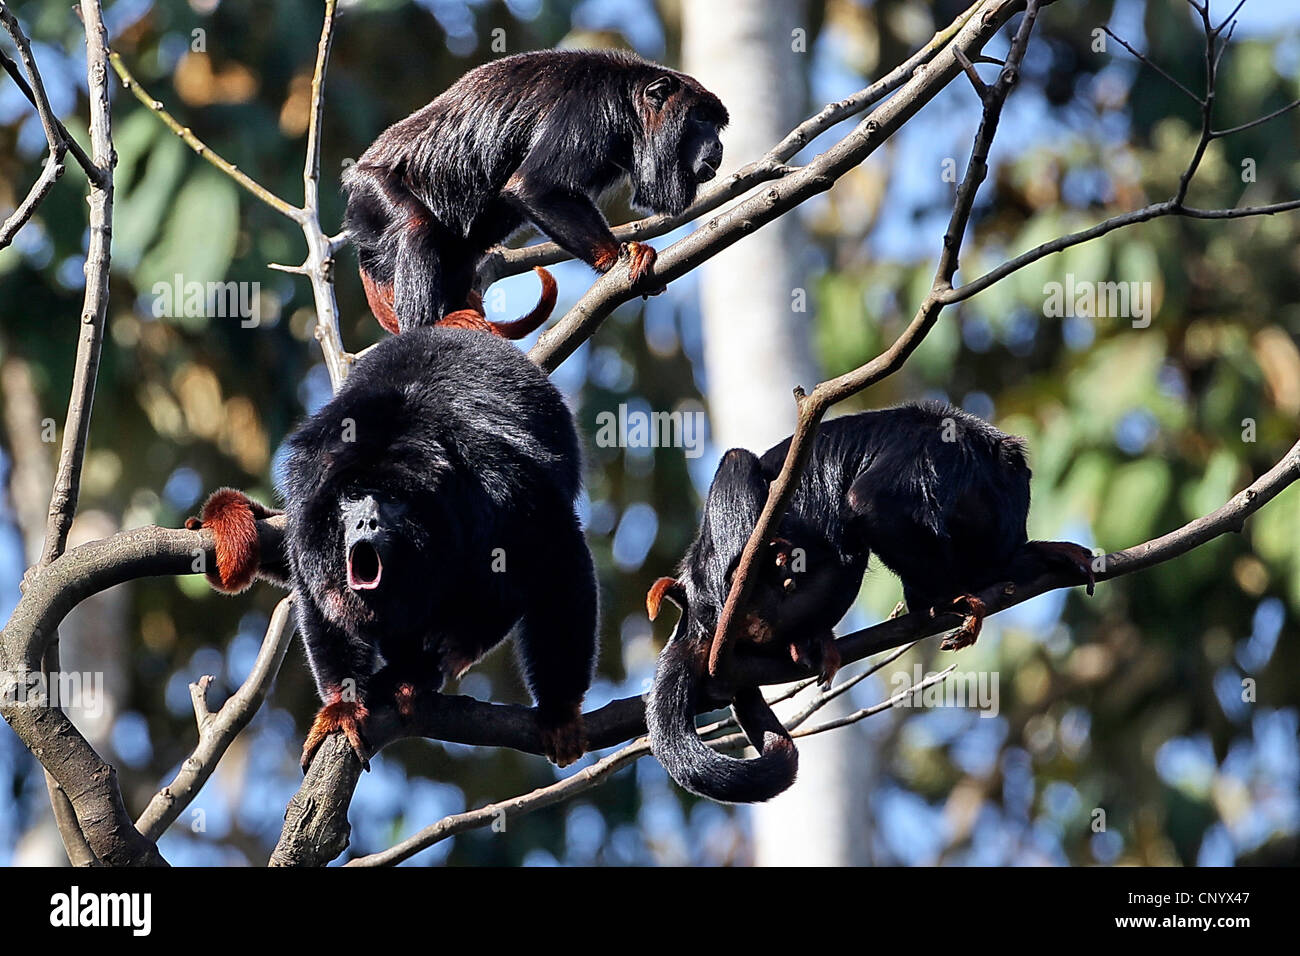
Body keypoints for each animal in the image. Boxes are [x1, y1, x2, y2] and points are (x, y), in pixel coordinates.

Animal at [185, 326, 599, 770]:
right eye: (353, 494)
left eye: (394, 498)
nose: (367, 521)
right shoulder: (309, 493)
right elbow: (319, 599)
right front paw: (343, 705)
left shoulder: (506, 488)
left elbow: (560, 558)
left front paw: (560, 711)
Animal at [343, 49, 729, 335]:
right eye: (700, 119)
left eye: (716, 124)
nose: (719, 146)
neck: (625, 101)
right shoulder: (587, 111)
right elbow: (535, 187)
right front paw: (617, 257)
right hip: (371, 189)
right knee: (416, 225)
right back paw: (426, 324)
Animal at [646, 401, 1095, 803]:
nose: (1016, 541)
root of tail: (695, 605)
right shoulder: (941, 452)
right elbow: (871, 506)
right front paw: (957, 595)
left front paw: (1035, 559)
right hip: (716, 585)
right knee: (740, 461)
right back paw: (747, 567)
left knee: (848, 555)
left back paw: (805, 641)